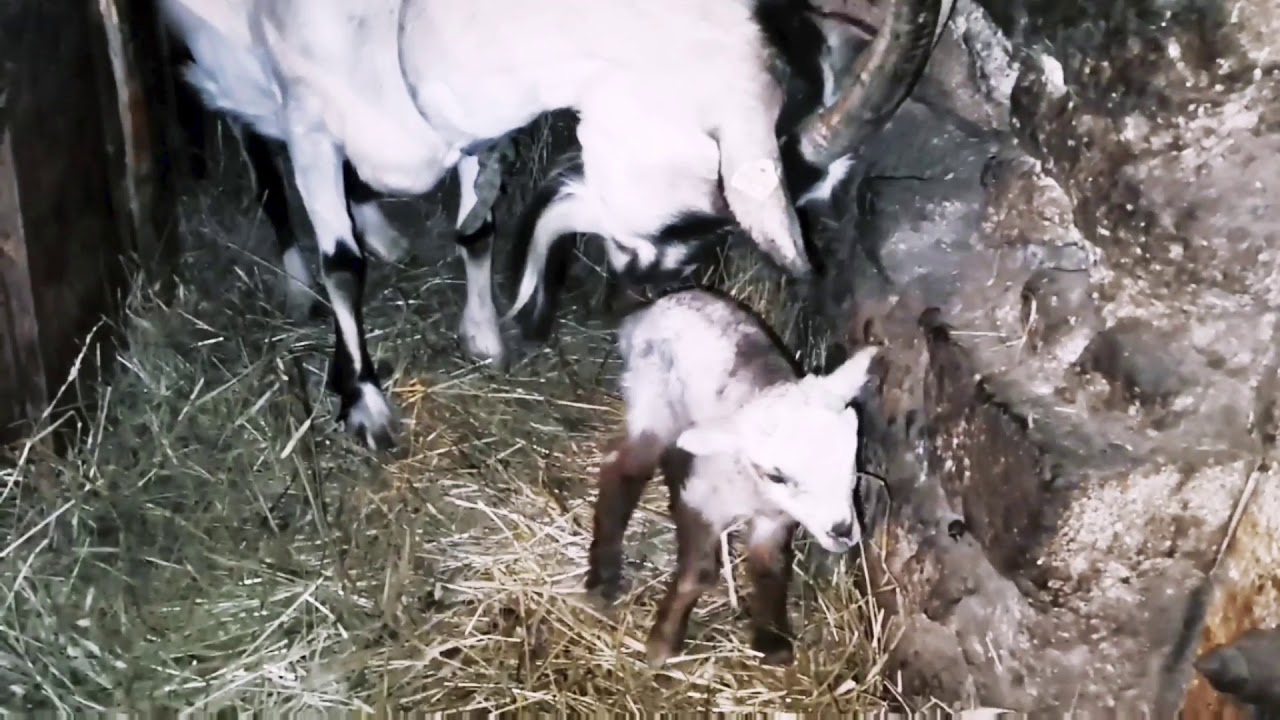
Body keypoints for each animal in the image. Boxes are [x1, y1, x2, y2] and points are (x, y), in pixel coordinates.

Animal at [159, 0, 943, 452]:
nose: (648, 284)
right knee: (250, 134)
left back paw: (380, 227)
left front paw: (484, 337)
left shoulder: (468, 136)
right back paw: (295, 269)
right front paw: (363, 404)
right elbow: (342, 267)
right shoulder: (308, 120)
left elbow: (475, 230)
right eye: (711, 200)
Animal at [585, 288, 885, 667]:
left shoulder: (775, 518)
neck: (753, 493)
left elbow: (772, 566)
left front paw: (772, 639)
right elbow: (700, 571)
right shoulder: (703, 500)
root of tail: (651, 308)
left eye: (850, 453)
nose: (843, 531)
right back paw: (604, 573)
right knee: (622, 468)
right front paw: (663, 643)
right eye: (776, 475)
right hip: (653, 402)